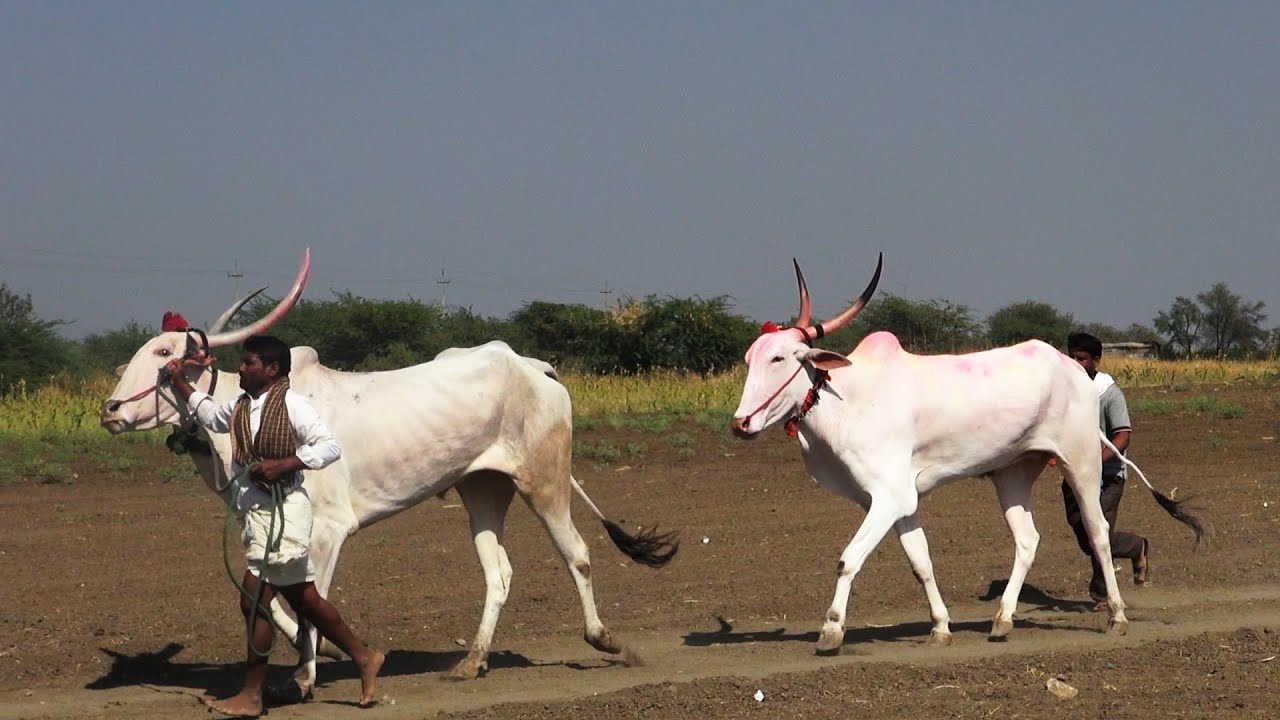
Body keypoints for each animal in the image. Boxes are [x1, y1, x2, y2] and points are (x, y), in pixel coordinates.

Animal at [99, 249, 677, 698]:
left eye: (165, 352)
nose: (109, 409)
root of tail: (531, 365)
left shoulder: (329, 529)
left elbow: (310, 597)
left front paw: (308, 672)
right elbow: (260, 594)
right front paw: (317, 654)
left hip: (545, 480)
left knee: (576, 553)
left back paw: (603, 638)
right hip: (481, 488)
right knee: (499, 573)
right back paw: (472, 661)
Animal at [730, 255, 1204, 653]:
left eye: (779, 358)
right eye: (750, 357)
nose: (739, 424)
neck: (847, 398)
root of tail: (1076, 371)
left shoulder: (888, 498)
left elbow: (849, 559)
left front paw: (831, 630)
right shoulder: (898, 502)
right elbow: (921, 563)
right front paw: (940, 627)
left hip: (1081, 462)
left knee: (1099, 532)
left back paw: (1116, 616)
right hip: (1012, 474)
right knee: (1028, 540)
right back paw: (1003, 619)